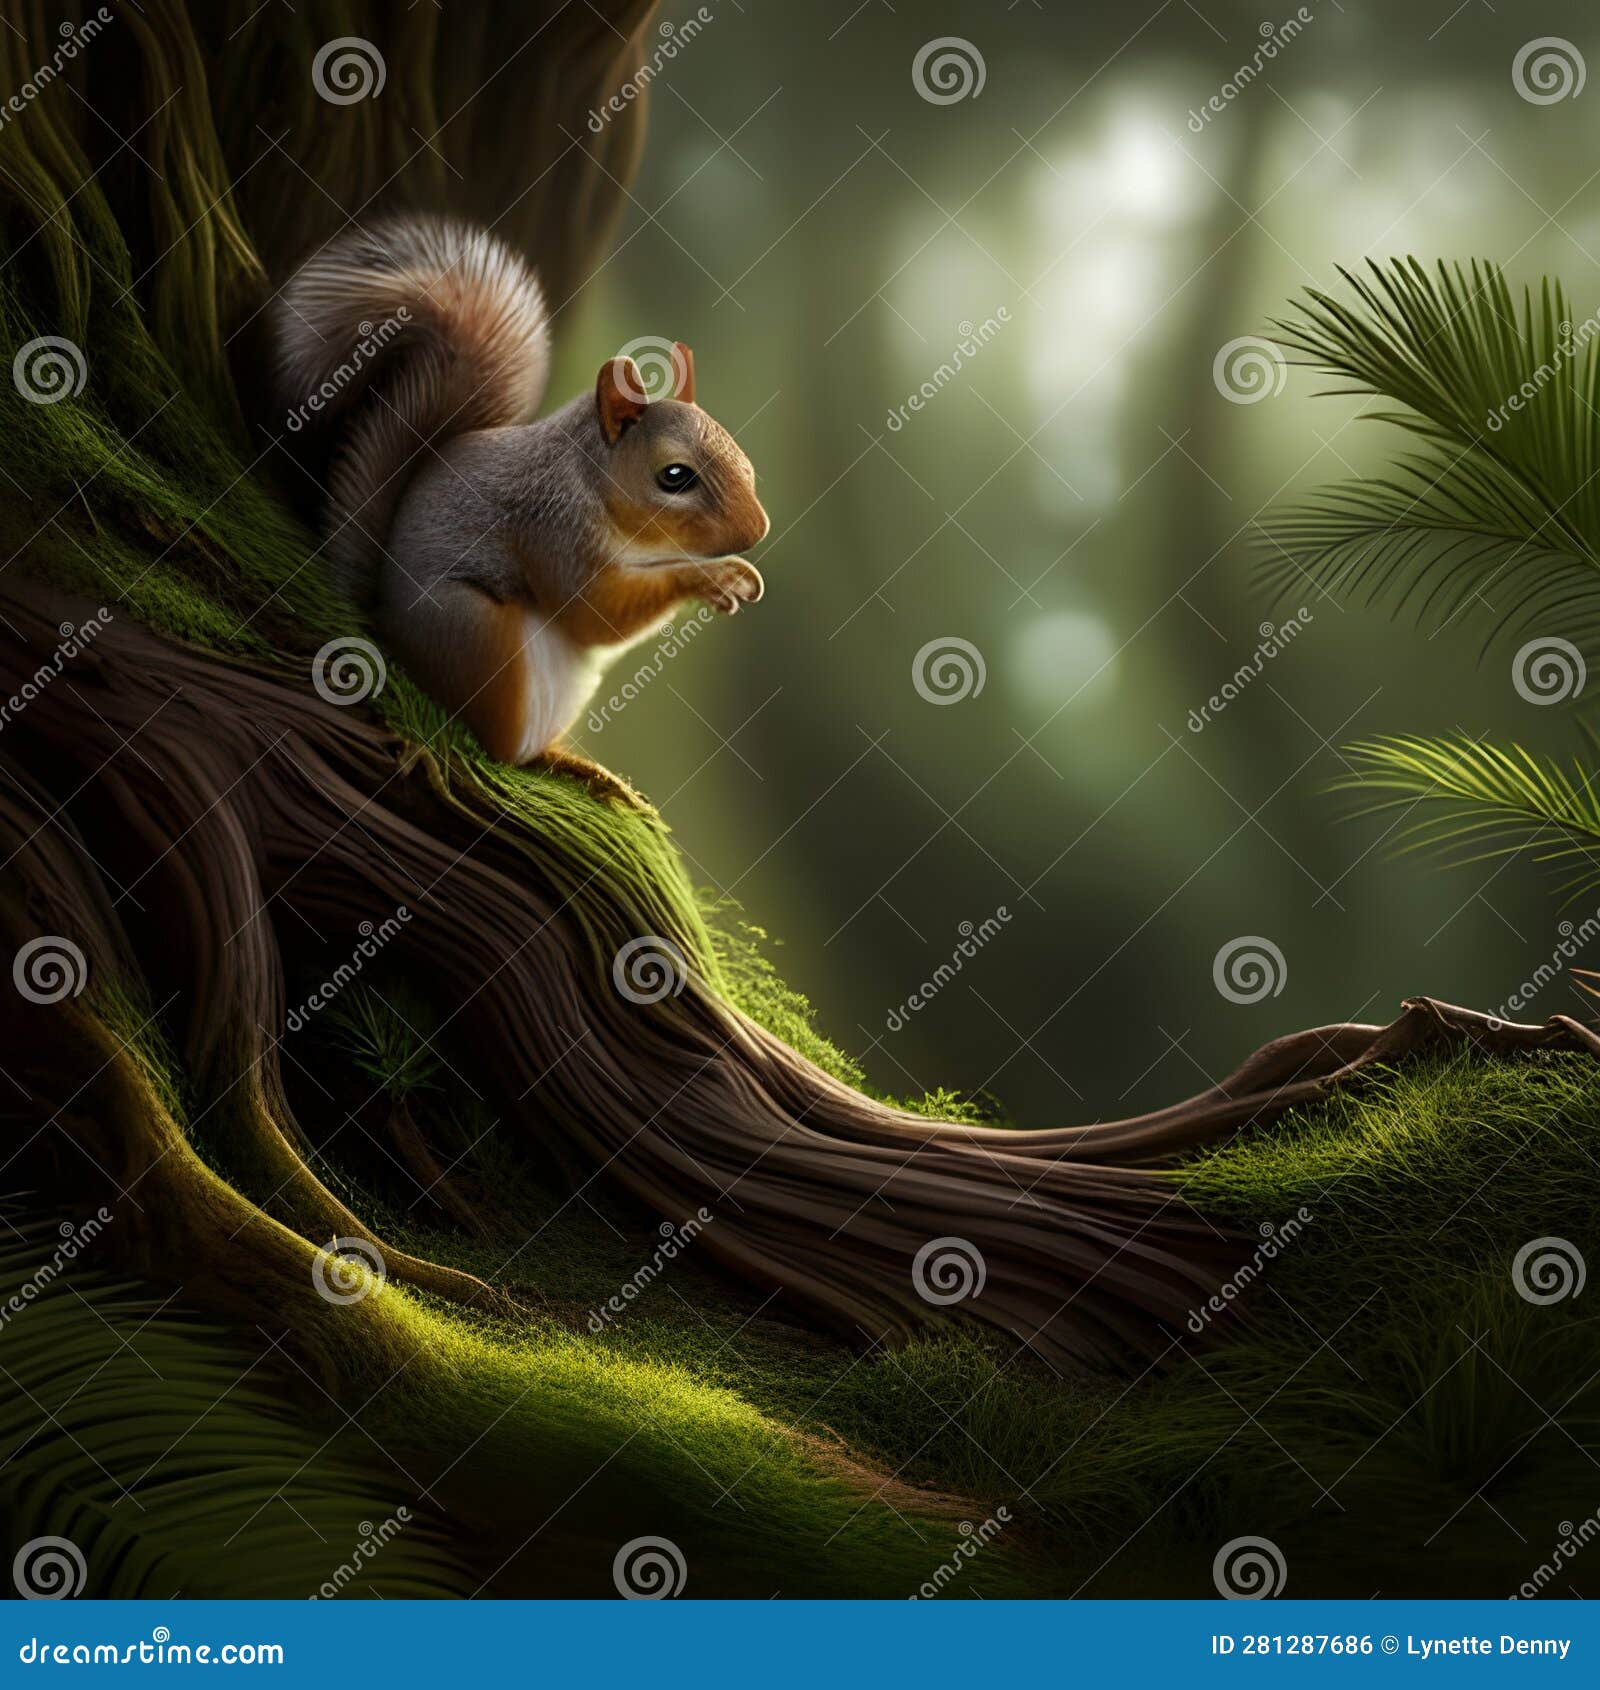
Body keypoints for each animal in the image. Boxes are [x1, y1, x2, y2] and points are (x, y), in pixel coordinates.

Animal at [272, 215, 769, 780]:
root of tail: (383, 624)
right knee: (497, 743)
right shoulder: (550, 530)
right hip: (474, 633)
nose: (758, 530)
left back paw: (574, 763)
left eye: (742, 457)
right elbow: (596, 615)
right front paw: (713, 576)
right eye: (675, 476)